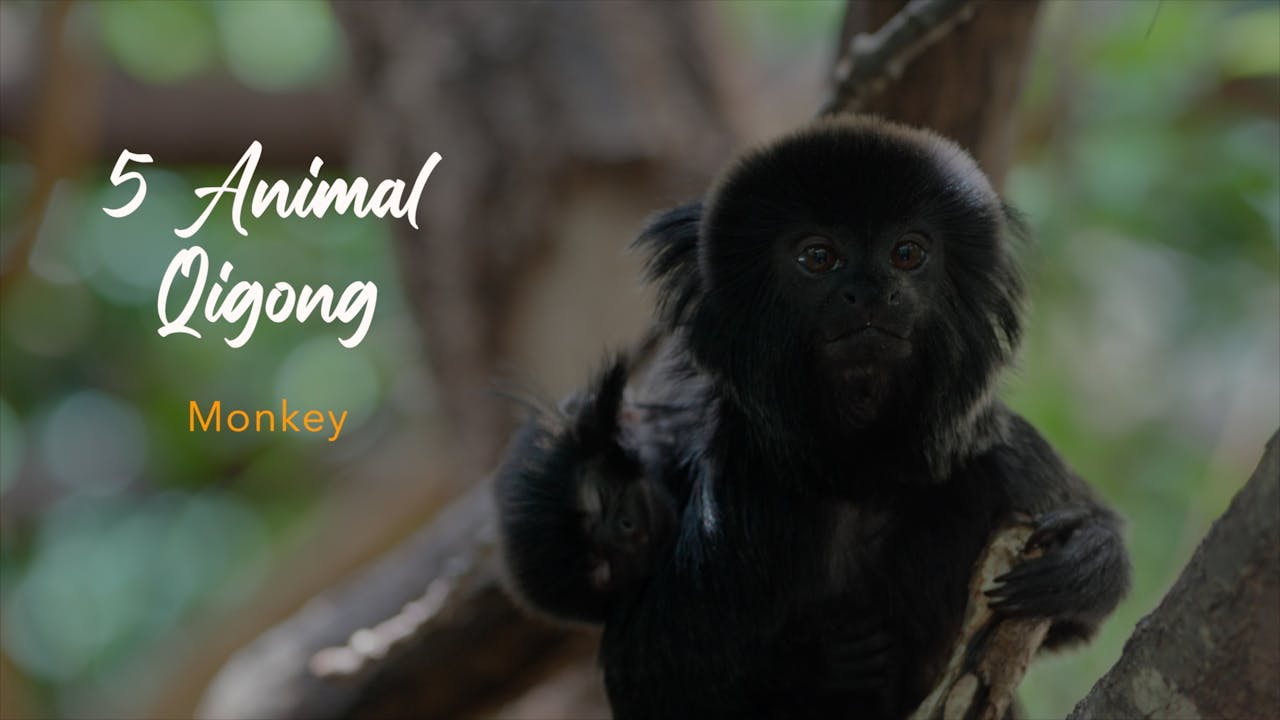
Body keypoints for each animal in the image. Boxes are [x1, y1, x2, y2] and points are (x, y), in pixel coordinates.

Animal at [493, 116, 1131, 719]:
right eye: (818, 258)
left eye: (907, 253)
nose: (870, 292)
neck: (856, 474)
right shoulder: (733, 511)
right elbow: (652, 680)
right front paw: (816, 664)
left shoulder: (998, 458)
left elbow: (1074, 616)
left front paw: (1084, 560)